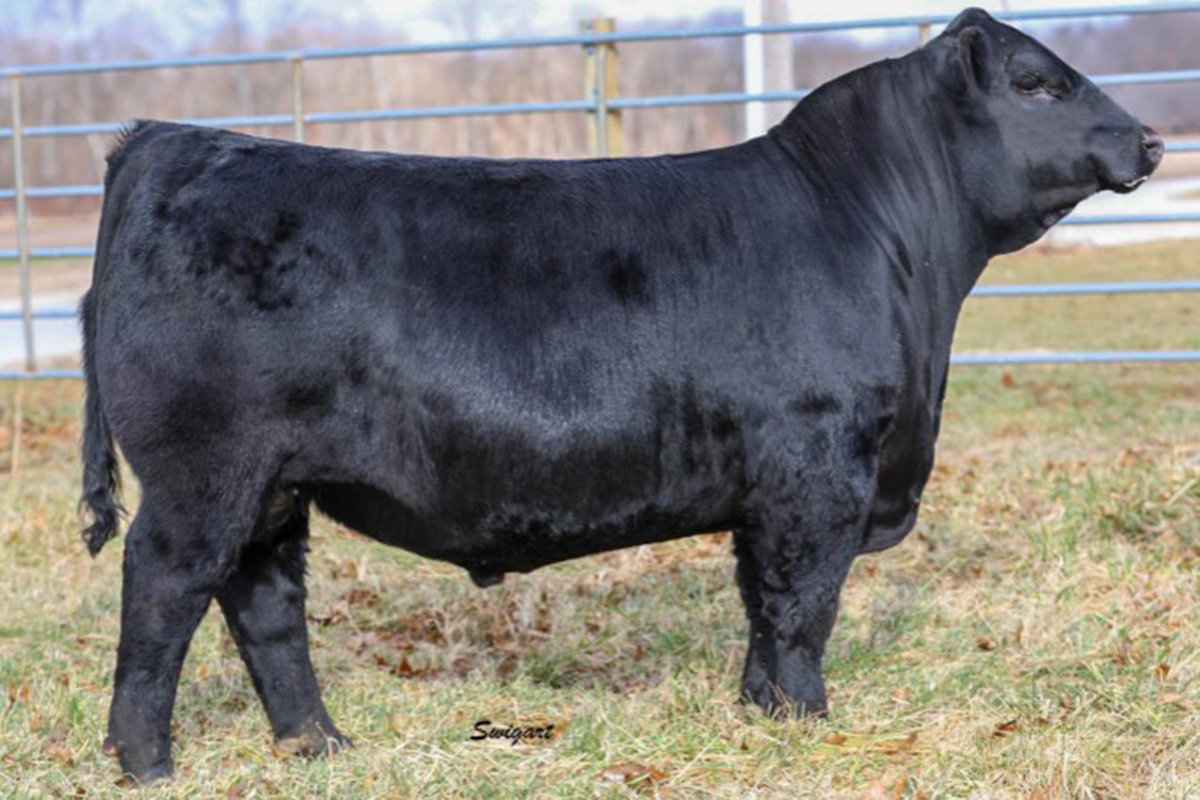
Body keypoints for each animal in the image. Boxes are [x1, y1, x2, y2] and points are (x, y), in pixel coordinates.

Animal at [79, 8, 1162, 782]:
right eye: (1035, 82)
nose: (1150, 140)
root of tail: (168, 141)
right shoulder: (819, 473)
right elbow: (802, 604)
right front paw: (806, 721)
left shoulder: (771, 492)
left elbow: (762, 605)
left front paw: (759, 713)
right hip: (202, 473)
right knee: (164, 590)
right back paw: (147, 763)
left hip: (272, 486)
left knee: (264, 603)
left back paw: (320, 745)